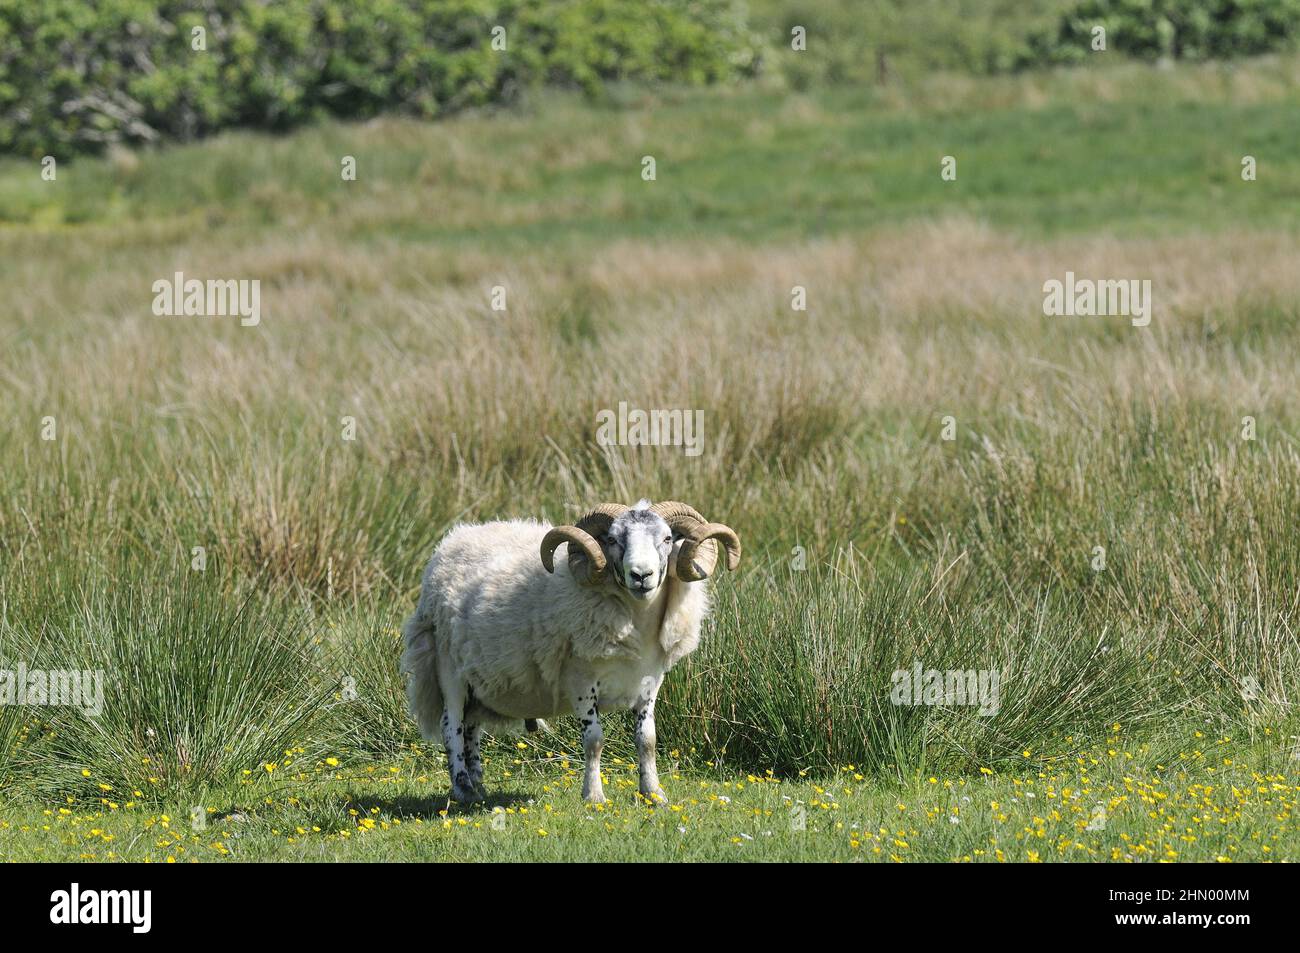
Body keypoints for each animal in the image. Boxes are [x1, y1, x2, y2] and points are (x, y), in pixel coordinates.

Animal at [399, 499, 741, 805]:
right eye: (613, 539)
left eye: (668, 538)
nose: (641, 576)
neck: (634, 622)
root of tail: (452, 541)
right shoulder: (581, 680)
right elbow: (594, 740)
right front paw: (594, 796)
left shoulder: (649, 682)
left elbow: (647, 740)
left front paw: (653, 795)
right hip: (448, 669)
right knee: (452, 727)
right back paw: (463, 790)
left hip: (478, 683)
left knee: (471, 729)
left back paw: (478, 787)